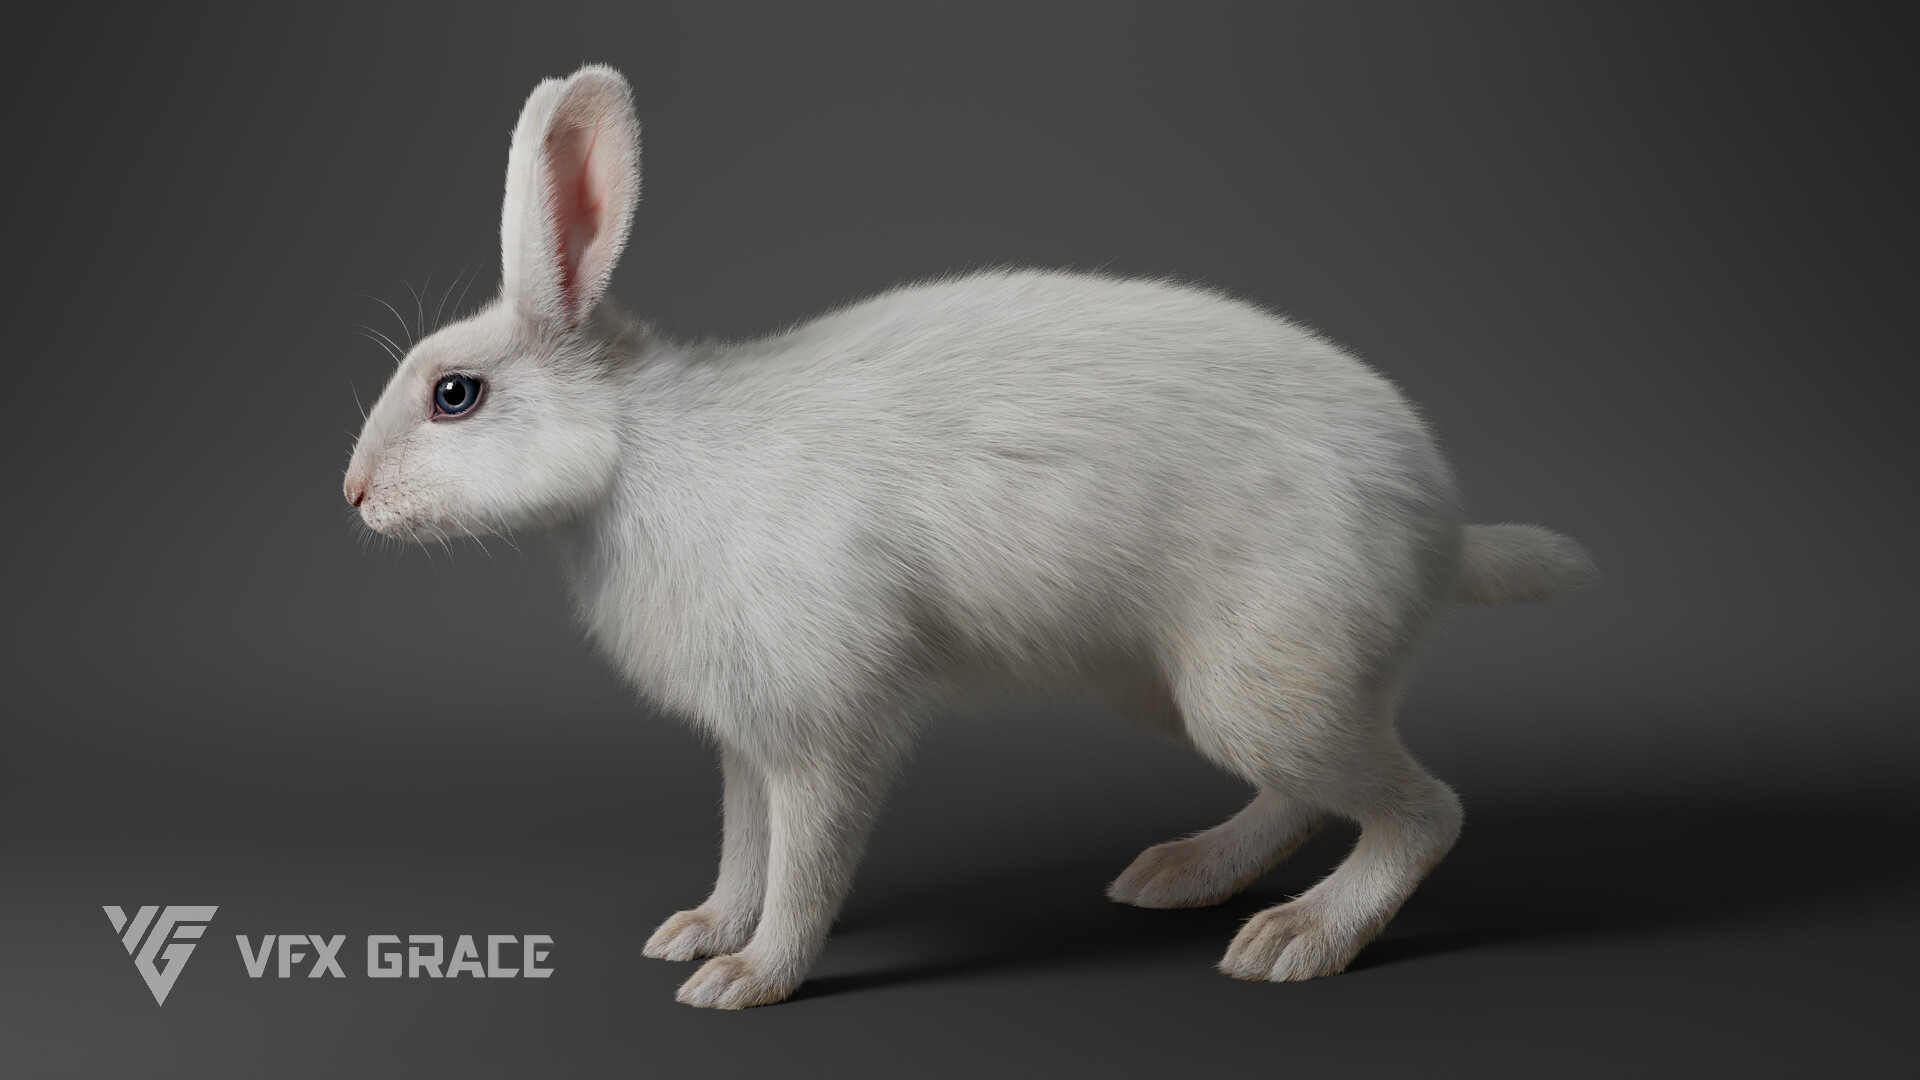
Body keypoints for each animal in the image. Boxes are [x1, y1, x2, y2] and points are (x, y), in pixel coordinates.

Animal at [343, 64, 1597, 1010]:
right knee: (1310, 798)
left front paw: (748, 979)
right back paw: (1182, 875)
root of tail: (1445, 535)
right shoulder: (747, 739)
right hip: (1186, 690)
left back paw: (1292, 941)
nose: (351, 494)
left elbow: (807, 865)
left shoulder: (826, 727)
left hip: (1264, 681)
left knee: (1422, 811)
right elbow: (746, 847)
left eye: (455, 395)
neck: (635, 453)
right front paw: (697, 931)